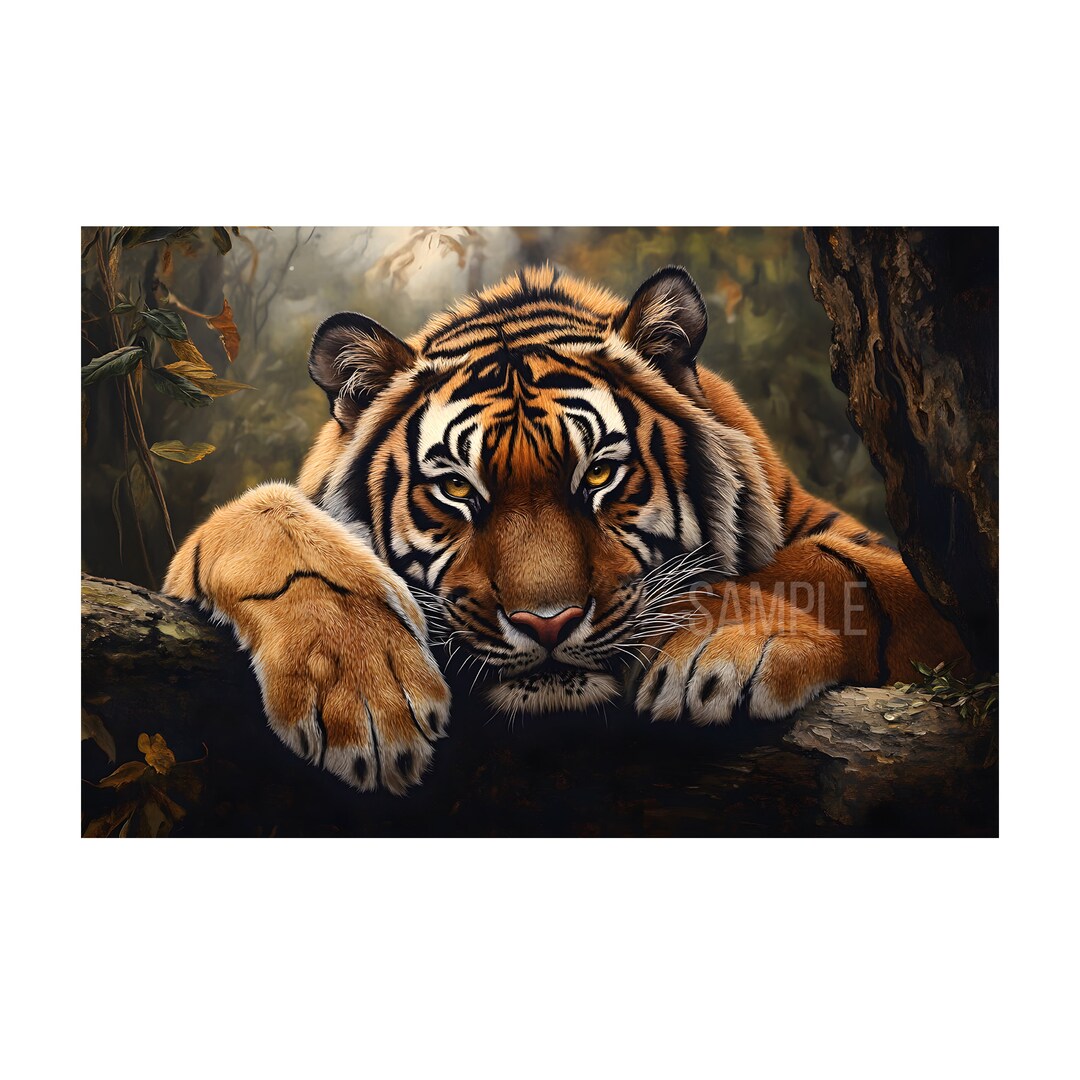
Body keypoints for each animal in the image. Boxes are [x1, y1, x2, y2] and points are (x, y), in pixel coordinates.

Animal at [164, 264, 969, 795]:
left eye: (599, 476)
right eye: (456, 489)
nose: (546, 624)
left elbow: (826, 564)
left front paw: (722, 642)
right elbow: (258, 511)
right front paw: (360, 693)